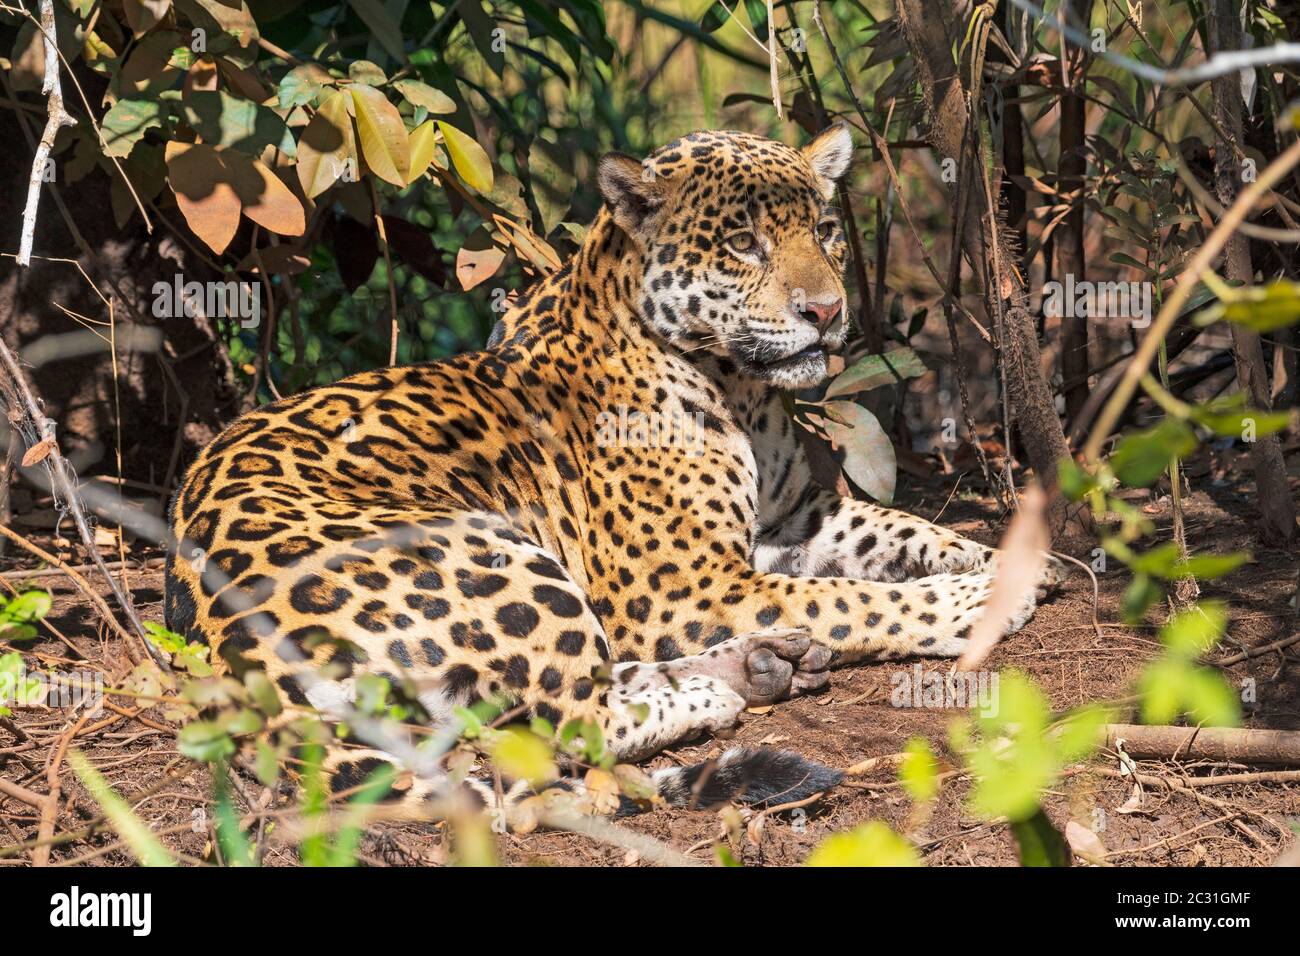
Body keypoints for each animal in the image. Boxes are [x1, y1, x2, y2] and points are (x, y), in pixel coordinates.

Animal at [164, 124, 1060, 819]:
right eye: (743, 244)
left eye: (825, 232)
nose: (827, 311)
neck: (738, 387)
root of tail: (228, 655)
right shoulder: (685, 586)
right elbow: (851, 600)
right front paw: (978, 601)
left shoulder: (792, 519)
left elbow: (899, 531)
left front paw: (1012, 559)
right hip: (492, 552)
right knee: (563, 721)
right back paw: (721, 690)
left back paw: (761, 663)